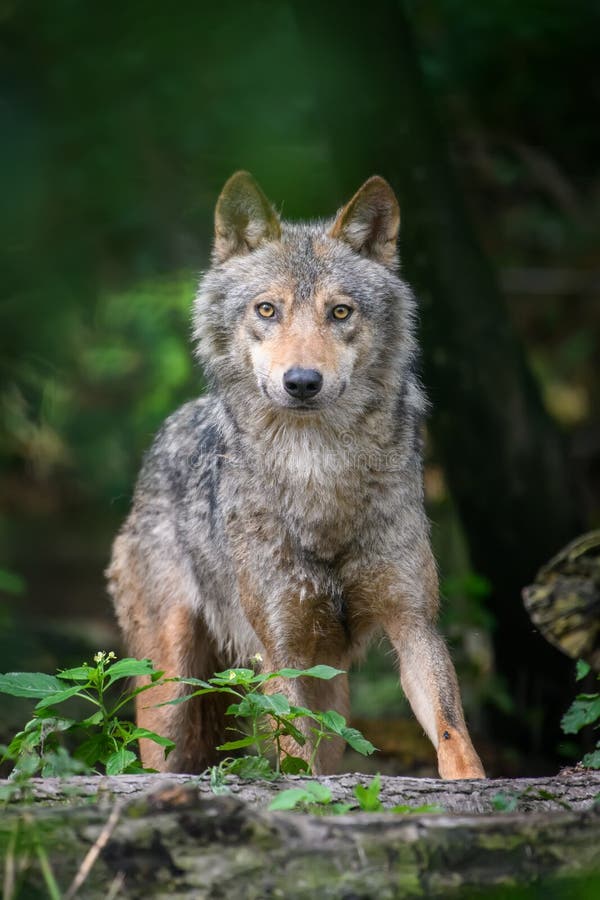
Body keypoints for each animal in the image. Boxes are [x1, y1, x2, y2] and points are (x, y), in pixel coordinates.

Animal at [107, 172, 485, 779]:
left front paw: (474, 786)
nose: (302, 381)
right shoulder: (281, 649)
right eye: (267, 309)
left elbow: (452, 728)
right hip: (170, 694)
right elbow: (294, 761)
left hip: (333, 693)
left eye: (340, 313)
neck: (318, 471)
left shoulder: (413, 623)